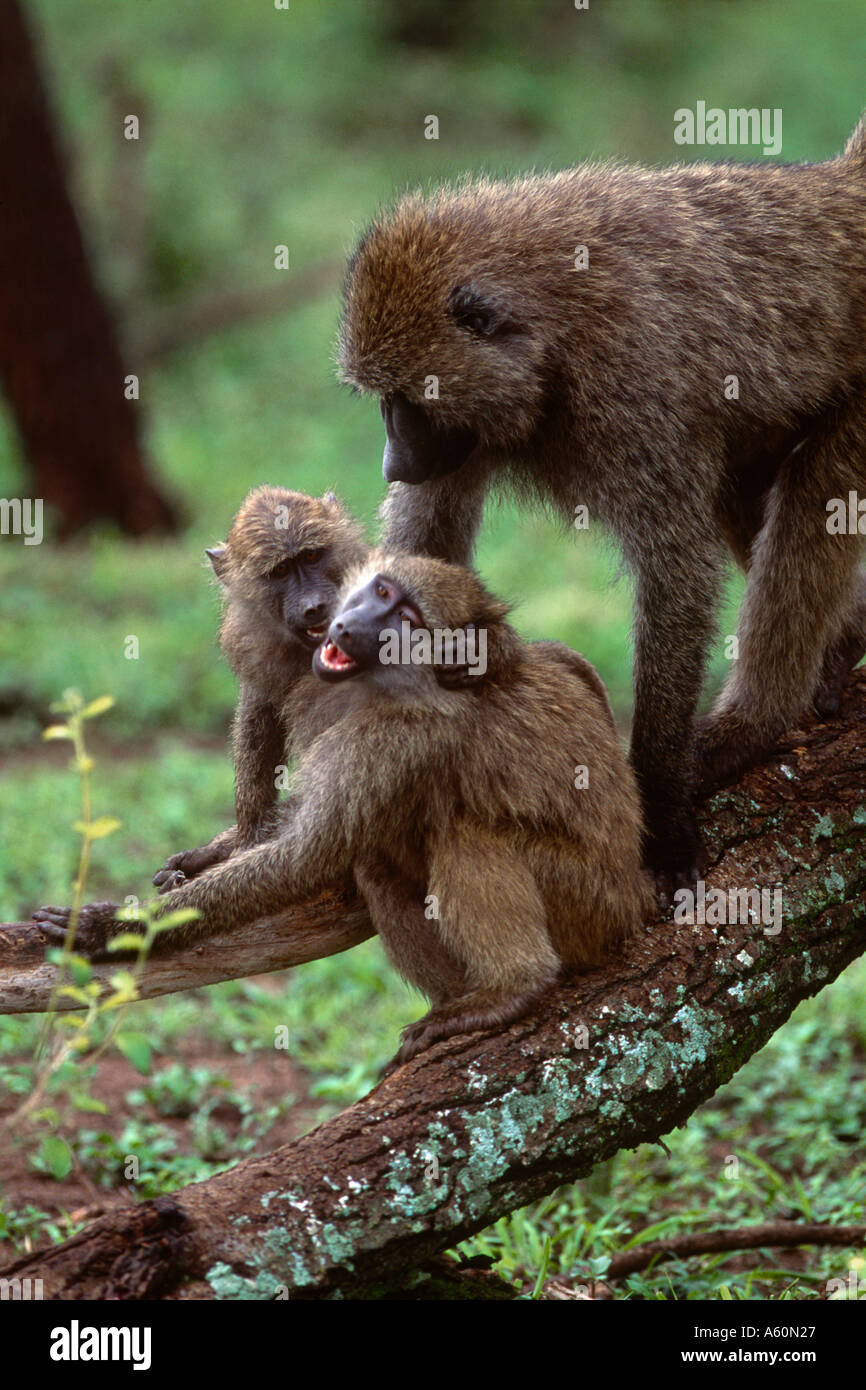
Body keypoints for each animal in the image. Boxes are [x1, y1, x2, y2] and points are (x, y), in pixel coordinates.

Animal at [36, 552, 652, 1063]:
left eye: (407, 621)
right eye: (379, 591)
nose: (345, 625)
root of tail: (636, 896)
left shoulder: (396, 736)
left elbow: (302, 857)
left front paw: (112, 927)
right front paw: (212, 854)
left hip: (587, 901)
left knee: (471, 834)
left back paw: (511, 990)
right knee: (379, 865)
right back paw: (458, 997)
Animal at [336, 116, 866, 900]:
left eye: (408, 399)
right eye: (385, 401)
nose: (392, 464)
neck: (553, 329)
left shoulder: (632, 387)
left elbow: (677, 571)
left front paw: (662, 807)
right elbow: (422, 553)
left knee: (815, 488)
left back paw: (754, 722)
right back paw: (845, 643)